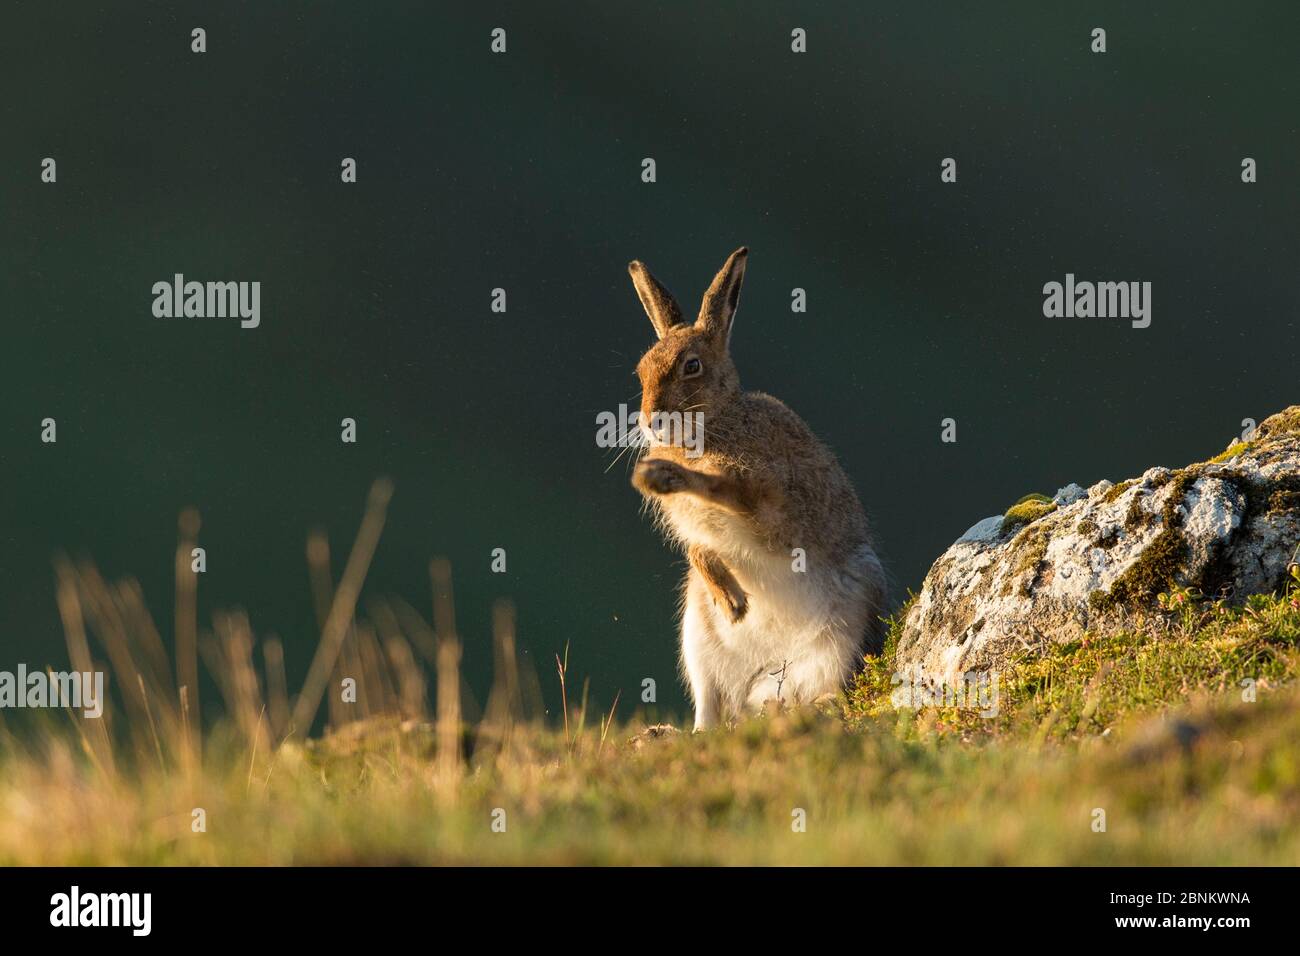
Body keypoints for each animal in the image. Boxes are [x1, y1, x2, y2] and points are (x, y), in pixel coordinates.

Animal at [627, 247, 887, 730]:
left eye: (692, 366)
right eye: (641, 371)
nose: (651, 420)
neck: (715, 421)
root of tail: (763, 682)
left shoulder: (768, 500)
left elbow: (724, 488)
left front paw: (660, 476)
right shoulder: (698, 533)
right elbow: (699, 549)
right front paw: (733, 603)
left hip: (848, 624)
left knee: (827, 688)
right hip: (696, 635)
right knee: (709, 706)